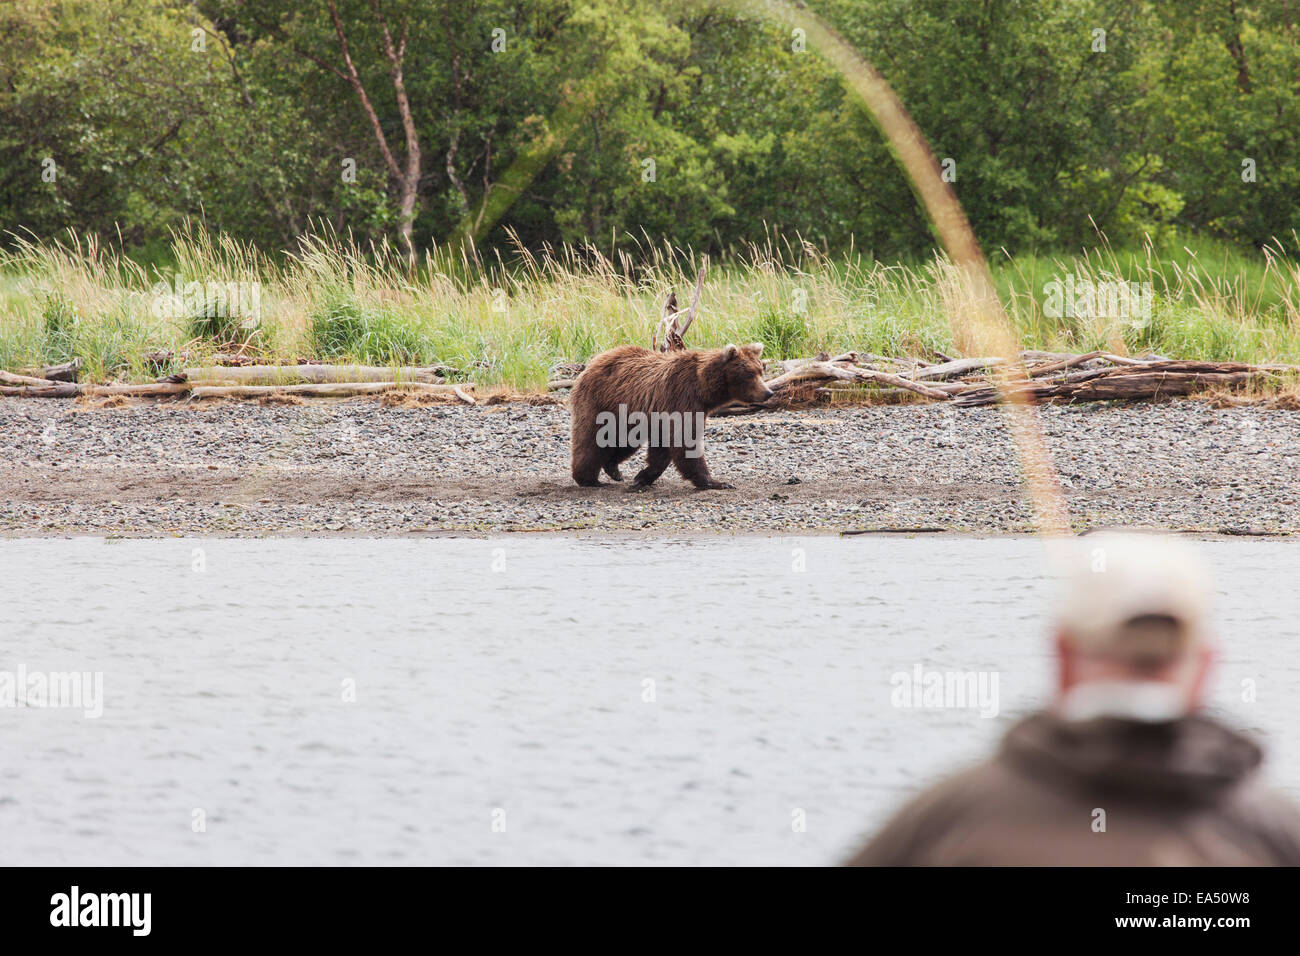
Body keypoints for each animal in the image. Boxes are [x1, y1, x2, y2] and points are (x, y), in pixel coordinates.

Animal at [569, 342, 773, 490]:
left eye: (760, 370)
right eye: (749, 374)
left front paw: (642, 477)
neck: (704, 389)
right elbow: (685, 442)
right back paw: (589, 479)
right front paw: (716, 482)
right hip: (601, 403)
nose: (768, 392)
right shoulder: (681, 399)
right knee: (593, 439)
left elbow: (662, 449)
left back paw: (613, 469)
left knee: (623, 441)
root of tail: (591, 363)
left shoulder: (670, 414)